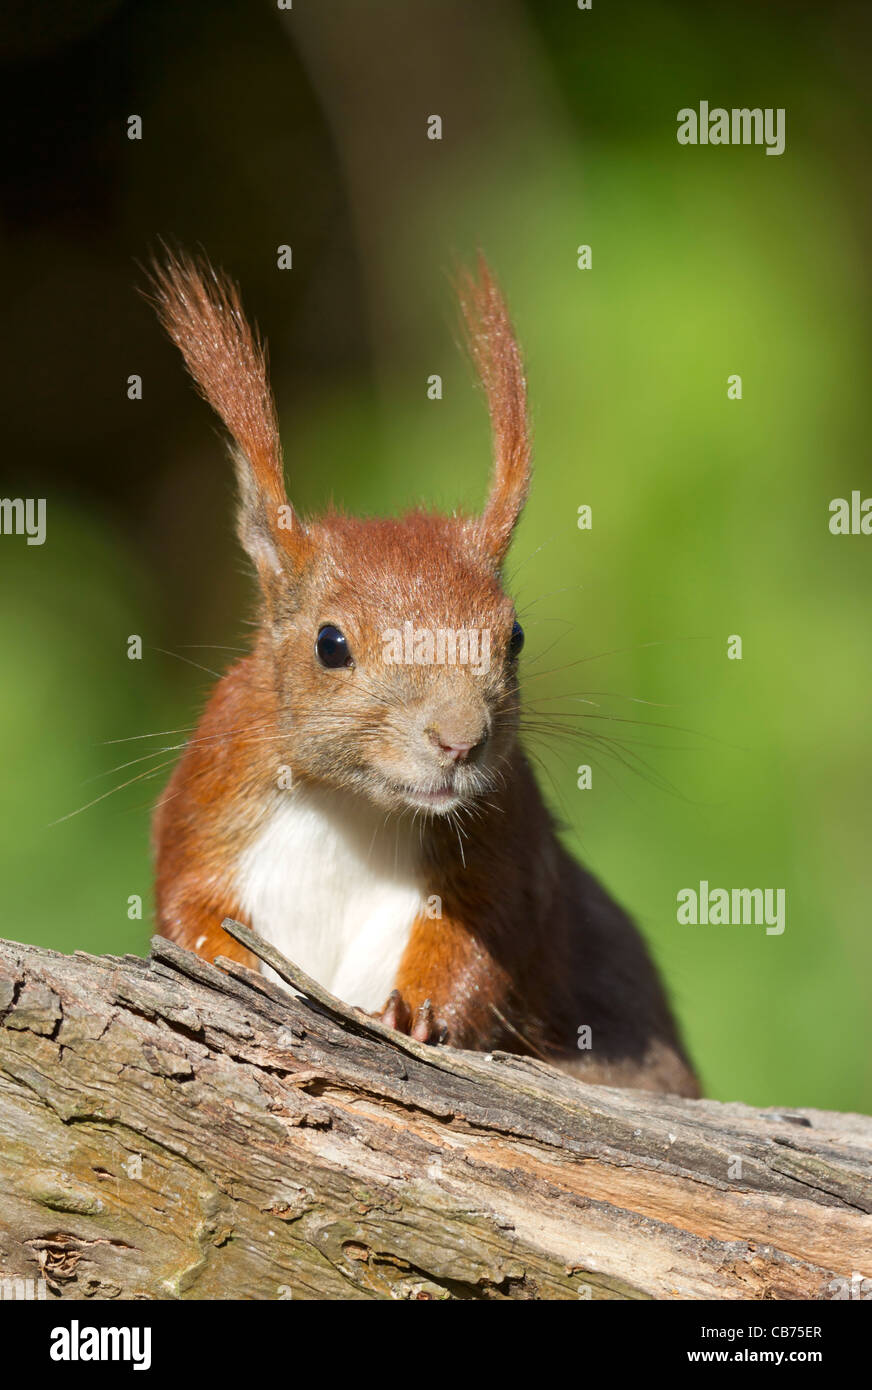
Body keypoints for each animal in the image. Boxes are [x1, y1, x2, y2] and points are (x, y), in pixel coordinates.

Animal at [148, 251, 699, 1098]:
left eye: (515, 637)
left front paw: (418, 1013)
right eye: (330, 644)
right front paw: (233, 963)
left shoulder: (508, 837)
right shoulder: (212, 790)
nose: (460, 740)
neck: (354, 809)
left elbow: (482, 943)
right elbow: (187, 897)